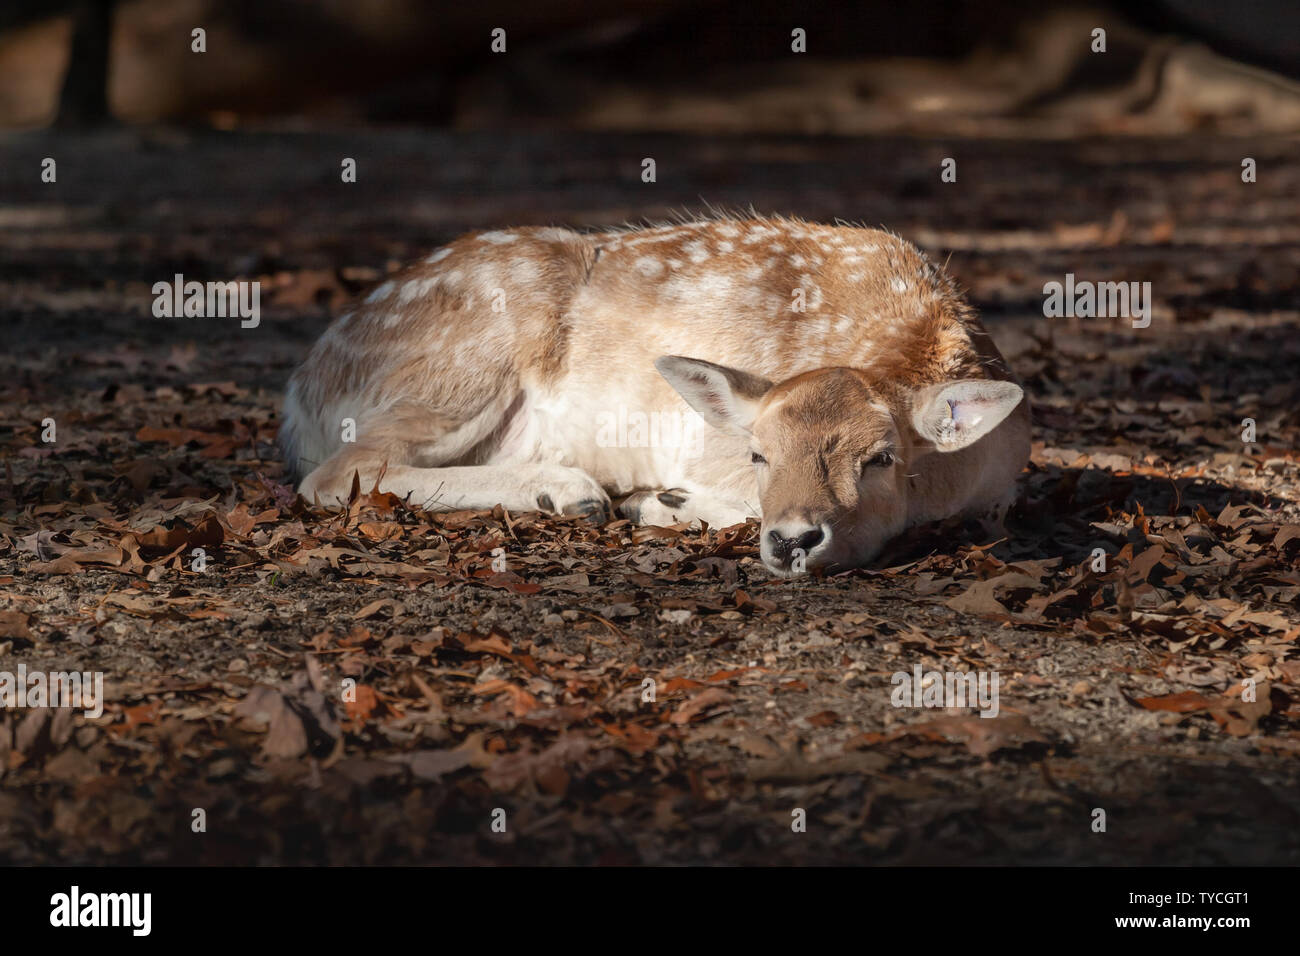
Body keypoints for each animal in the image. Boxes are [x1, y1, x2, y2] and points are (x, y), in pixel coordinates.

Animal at [281, 216, 1030, 577]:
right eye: (757, 453)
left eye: (881, 457)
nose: (793, 540)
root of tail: (301, 391)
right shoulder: (706, 446)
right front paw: (659, 501)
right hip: (462, 365)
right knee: (335, 473)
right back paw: (573, 491)